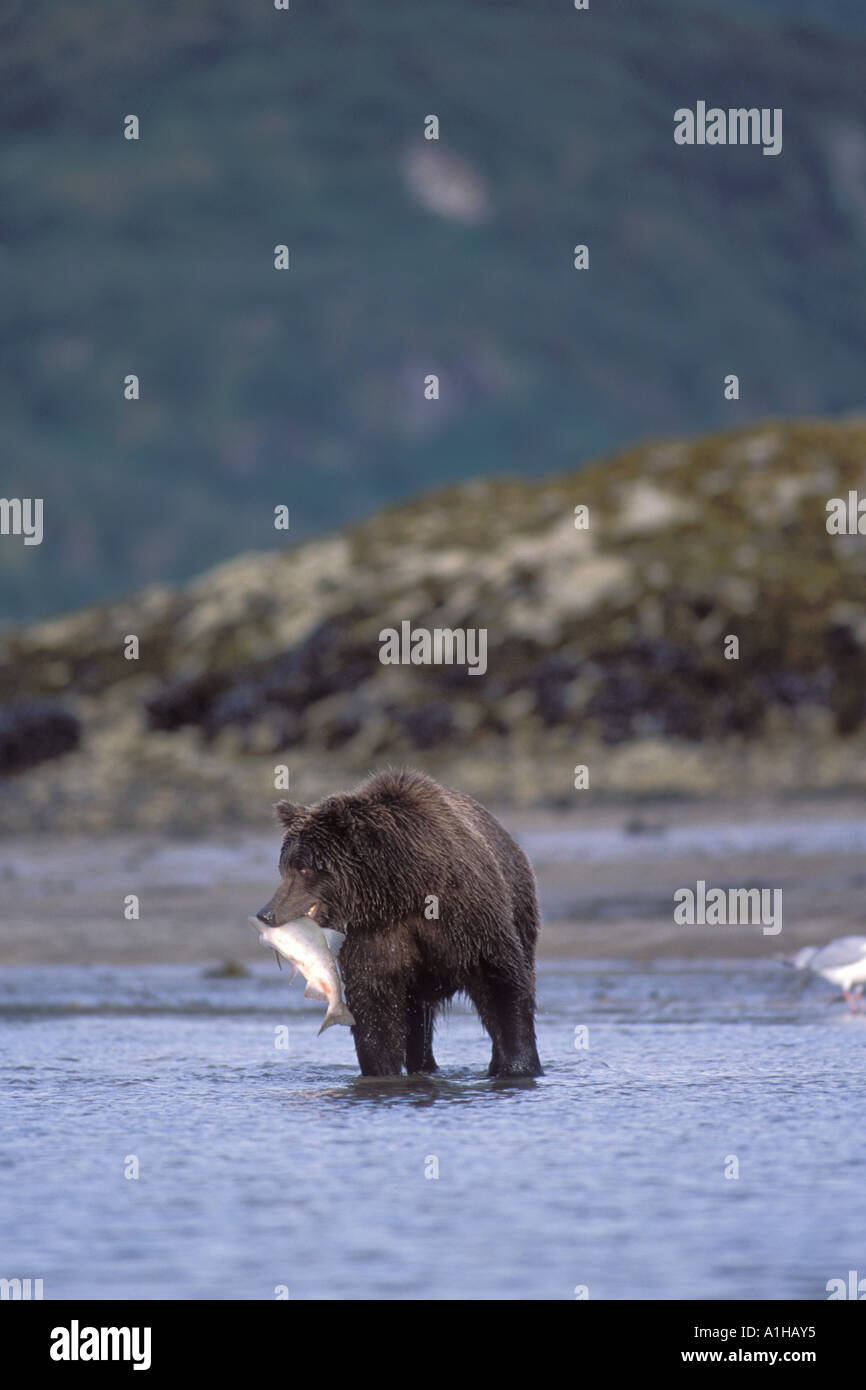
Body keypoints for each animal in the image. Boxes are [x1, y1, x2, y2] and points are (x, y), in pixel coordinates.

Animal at [255, 768, 542, 1078]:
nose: (266, 913)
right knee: (417, 1017)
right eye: (283, 867)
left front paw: (518, 1066)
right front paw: (382, 1070)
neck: (401, 890)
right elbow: (375, 1004)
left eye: (304, 867)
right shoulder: (373, 935)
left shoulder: (466, 916)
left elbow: (499, 979)